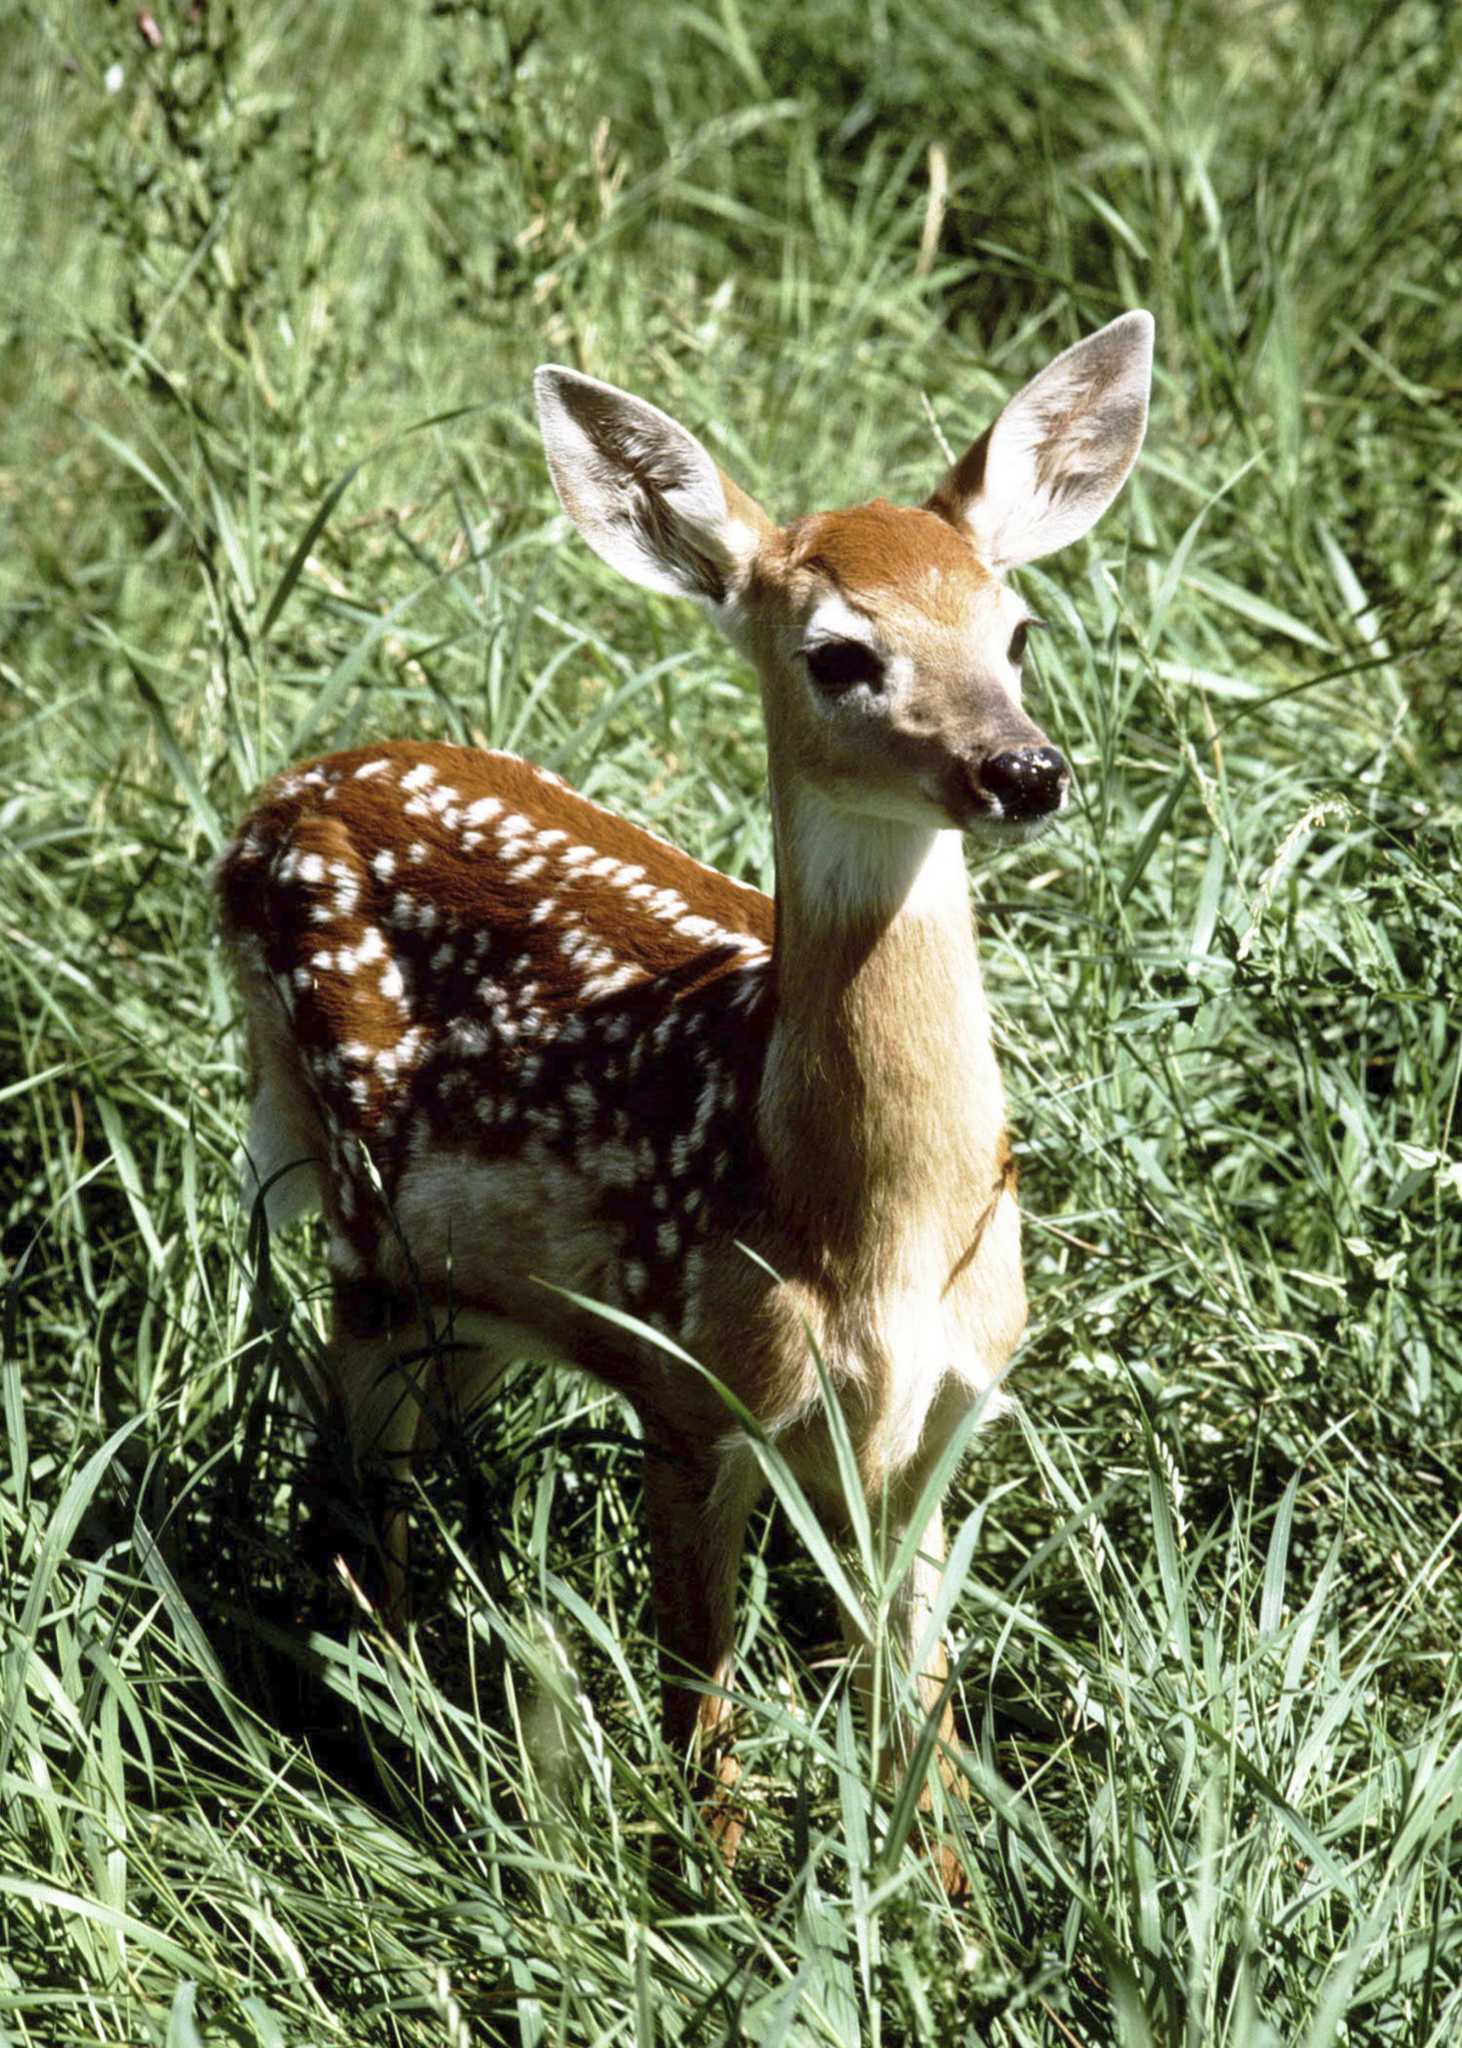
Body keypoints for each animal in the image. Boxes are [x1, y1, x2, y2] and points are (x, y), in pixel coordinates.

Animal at [217, 310, 1154, 1879]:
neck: (865, 1231)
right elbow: (695, 1695)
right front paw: (705, 1882)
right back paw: (382, 1746)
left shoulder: (934, 1419)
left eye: (1016, 631)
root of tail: (266, 811)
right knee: (351, 1497)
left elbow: (917, 1708)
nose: (1022, 768)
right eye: (840, 654)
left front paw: (946, 1898)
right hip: (366, 1235)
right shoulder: (695, 1389)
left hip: (475, 1305)